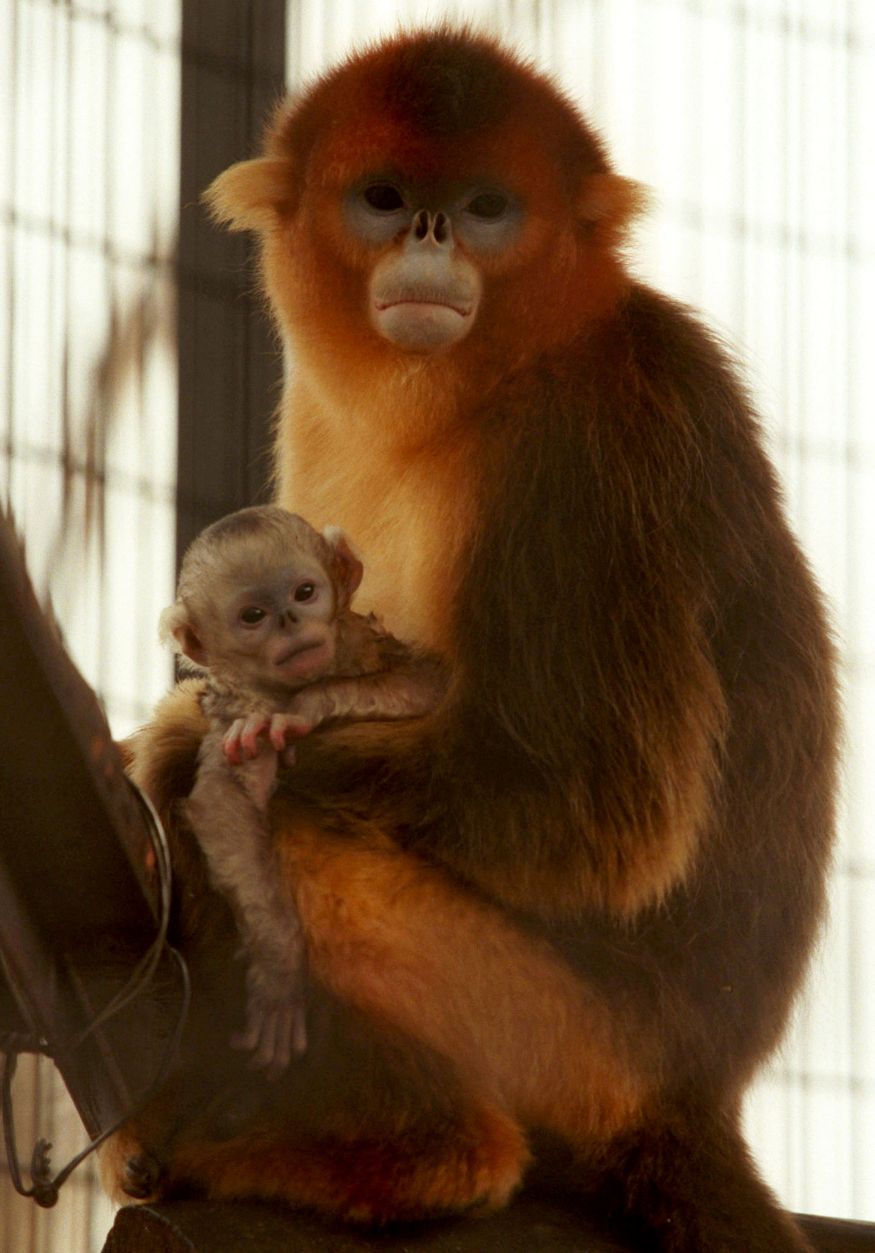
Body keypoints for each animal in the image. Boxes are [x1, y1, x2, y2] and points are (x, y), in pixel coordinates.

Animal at [159, 505, 446, 1076]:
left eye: (305, 592)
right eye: (253, 616)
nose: (290, 620)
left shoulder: (359, 637)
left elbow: (425, 681)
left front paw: (307, 708)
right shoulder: (236, 715)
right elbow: (223, 804)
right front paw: (280, 966)